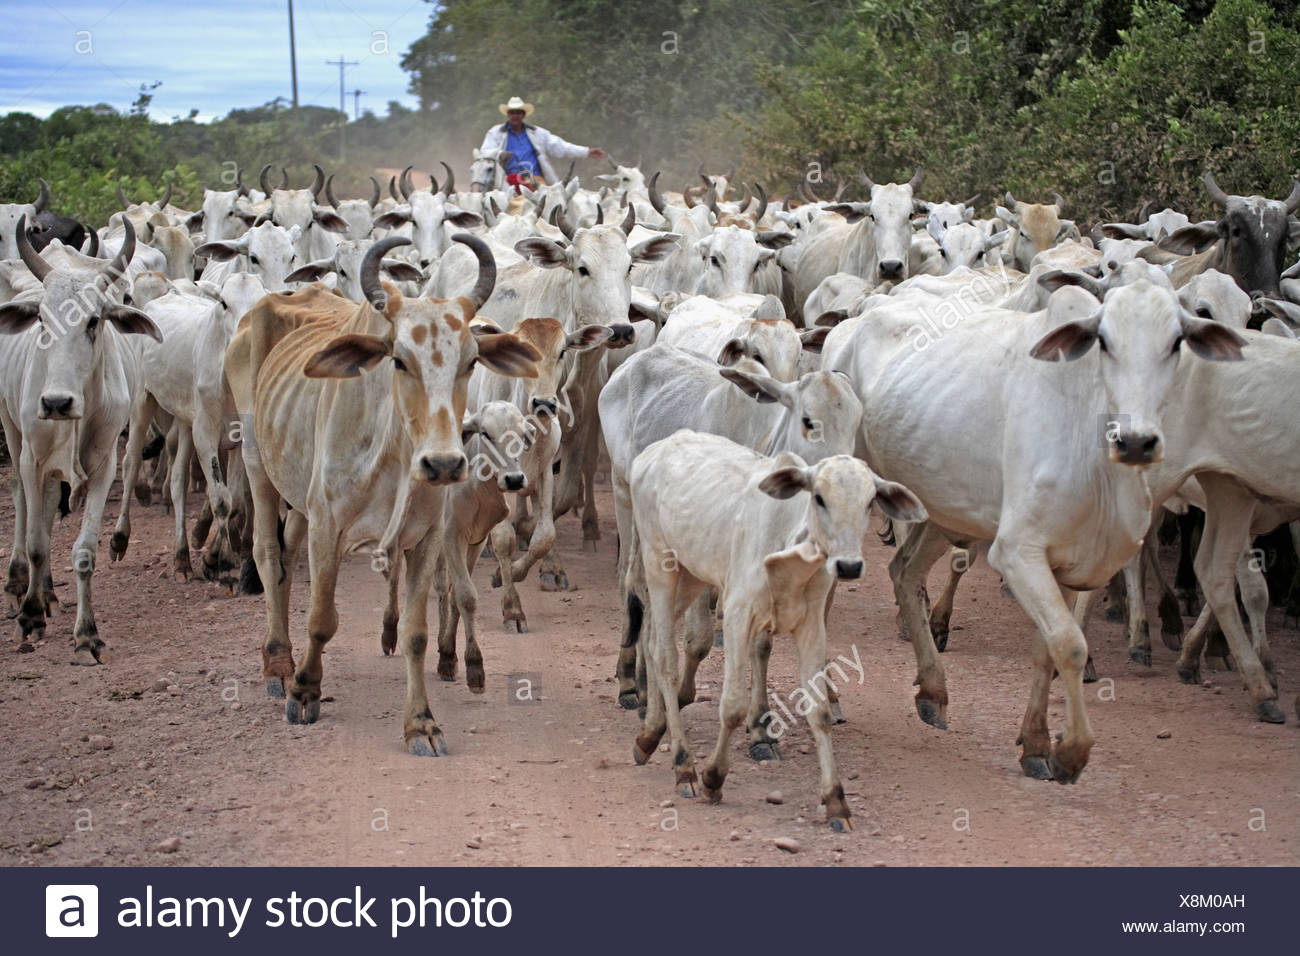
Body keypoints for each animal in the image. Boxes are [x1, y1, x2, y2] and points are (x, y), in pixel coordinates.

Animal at [0, 218, 162, 663]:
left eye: (93, 321)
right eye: (41, 318)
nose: (56, 402)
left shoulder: (104, 466)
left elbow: (84, 551)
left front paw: (87, 633)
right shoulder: (32, 459)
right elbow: (37, 542)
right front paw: (30, 616)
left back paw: (49, 594)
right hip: (12, 432)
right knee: (25, 506)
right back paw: (22, 585)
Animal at [225, 233, 540, 754]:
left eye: (471, 360)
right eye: (398, 359)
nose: (443, 464)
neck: (394, 454)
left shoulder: (428, 537)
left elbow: (416, 632)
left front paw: (422, 723)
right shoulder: (328, 525)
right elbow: (322, 617)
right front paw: (304, 692)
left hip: (299, 500)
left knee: (286, 557)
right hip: (258, 467)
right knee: (269, 555)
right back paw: (278, 665)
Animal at [627, 430, 925, 830]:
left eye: (869, 503)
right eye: (819, 497)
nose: (848, 565)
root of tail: (658, 448)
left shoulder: (812, 625)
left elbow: (819, 710)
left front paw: (836, 801)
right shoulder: (737, 614)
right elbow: (732, 706)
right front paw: (714, 777)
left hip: (691, 575)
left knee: (649, 637)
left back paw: (649, 735)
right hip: (660, 564)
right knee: (664, 657)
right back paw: (683, 765)